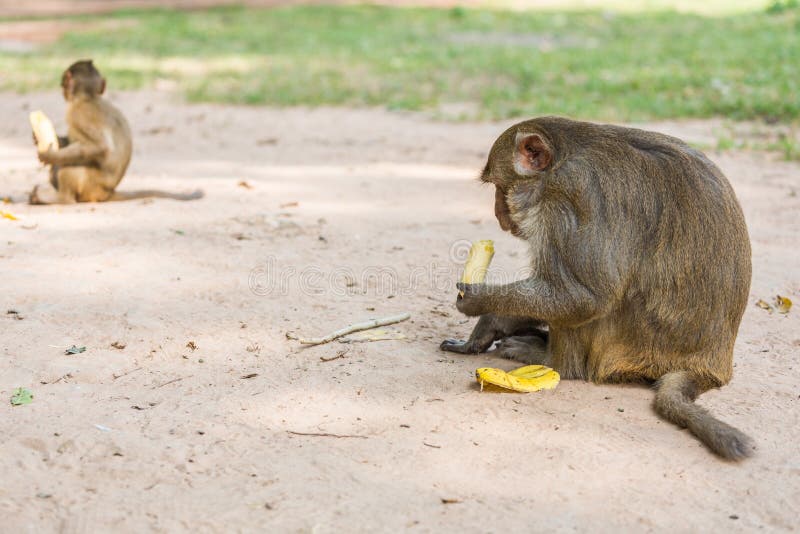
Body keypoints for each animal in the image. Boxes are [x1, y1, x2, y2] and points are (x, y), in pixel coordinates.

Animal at [30, 60, 202, 204]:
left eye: (64, 84)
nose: (63, 91)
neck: (89, 98)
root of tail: (108, 192)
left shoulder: (77, 113)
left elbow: (100, 147)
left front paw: (49, 155)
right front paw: (47, 140)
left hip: (90, 186)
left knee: (69, 167)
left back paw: (60, 198)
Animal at [441, 117, 754, 461]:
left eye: (499, 186)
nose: (499, 215)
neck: (562, 158)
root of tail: (712, 365)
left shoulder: (568, 196)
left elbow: (585, 298)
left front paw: (478, 301)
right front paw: (490, 325)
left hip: (630, 348)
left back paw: (552, 361)